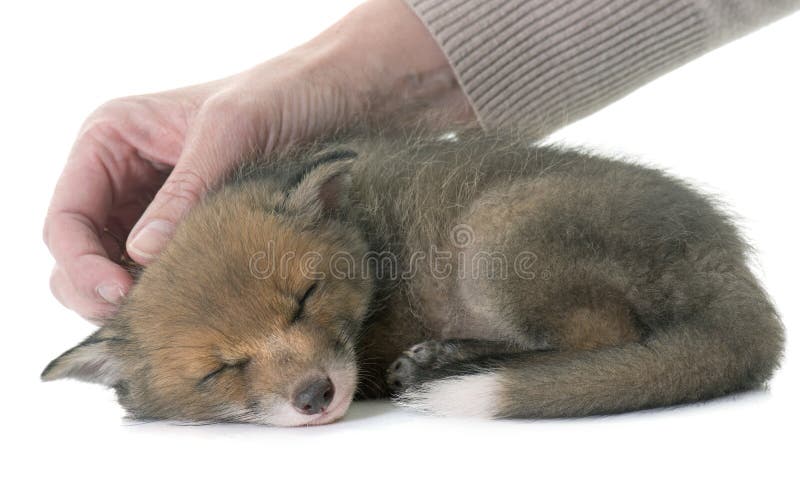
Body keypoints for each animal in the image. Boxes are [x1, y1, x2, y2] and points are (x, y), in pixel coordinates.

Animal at [42, 131, 784, 426]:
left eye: (305, 299)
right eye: (221, 369)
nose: (315, 394)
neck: (373, 247)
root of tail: (730, 259)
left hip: (494, 238)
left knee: (602, 339)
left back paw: (446, 362)